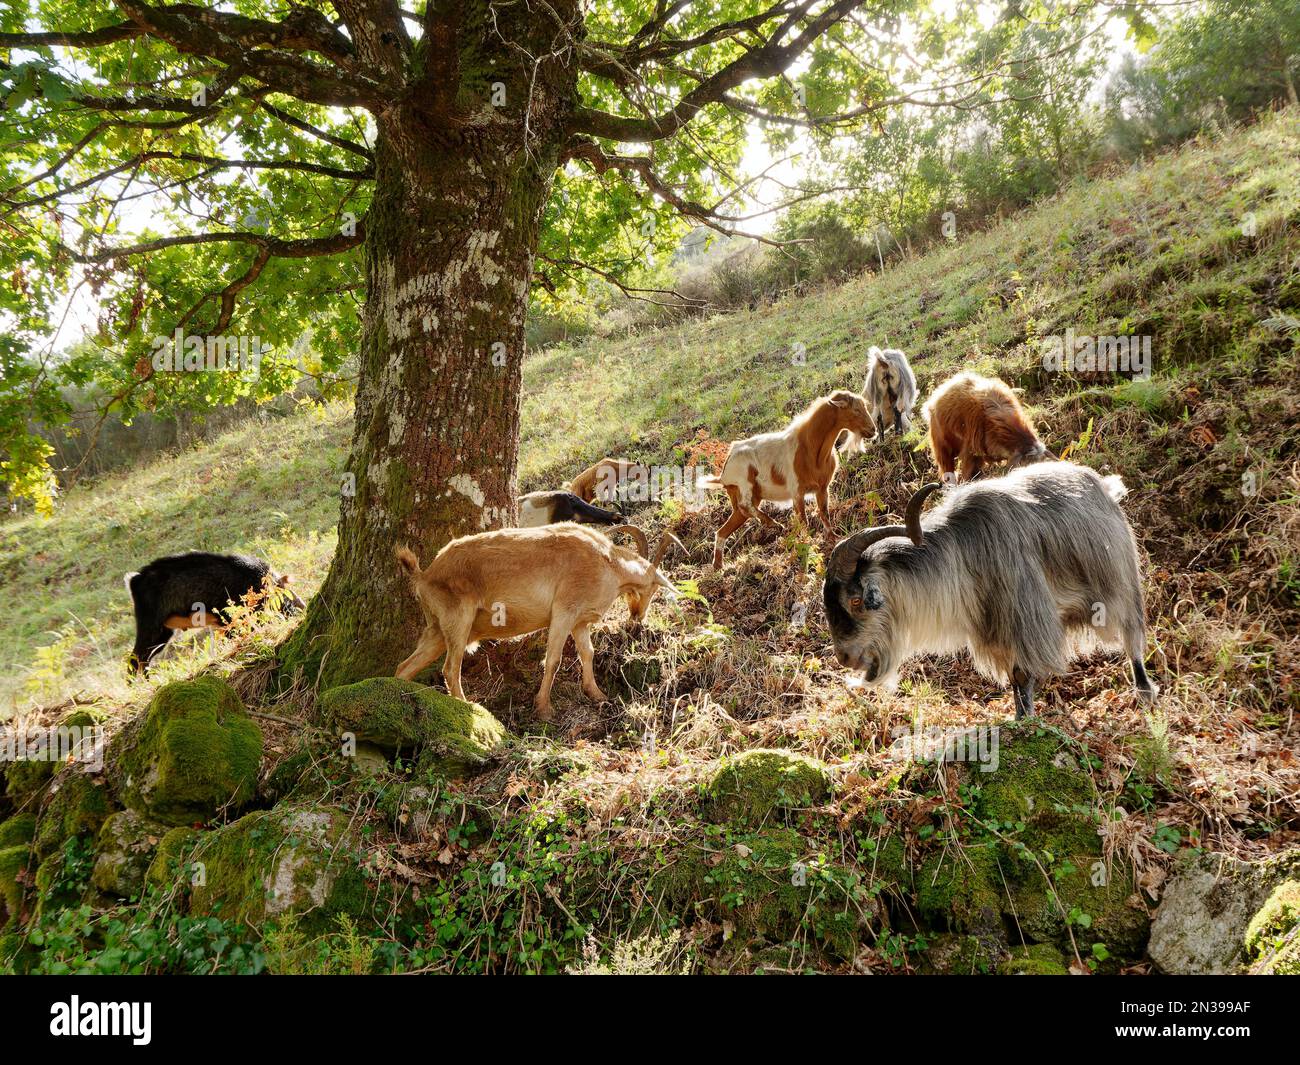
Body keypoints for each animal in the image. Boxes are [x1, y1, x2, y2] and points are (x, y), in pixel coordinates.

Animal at [124, 552, 304, 674]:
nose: (301, 607)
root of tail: (134, 580)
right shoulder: (231, 620)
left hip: (164, 632)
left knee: (143, 659)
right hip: (150, 626)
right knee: (135, 659)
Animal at [395, 523, 682, 719]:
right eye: (654, 589)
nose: (637, 616)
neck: (605, 563)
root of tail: (425, 575)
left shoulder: (579, 623)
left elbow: (588, 653)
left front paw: (597, 694)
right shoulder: (564, 612)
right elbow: (553, 660)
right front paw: (544, 708)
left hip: (436, 631)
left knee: (405, 667)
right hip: (458, 622)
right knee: (450, 669)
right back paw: (469, 708)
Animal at [703, 390, 873, 568]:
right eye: (856, 410)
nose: (873, 430)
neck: (810, 447)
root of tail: (724, 472)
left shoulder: (822, 488)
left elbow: (824, 512)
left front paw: (833, 538)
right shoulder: (797, 491)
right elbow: (804, 520)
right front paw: (808, 544)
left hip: (746, 497)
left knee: (723, 530)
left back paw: (719, 567)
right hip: (744, 482)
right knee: (745, 506)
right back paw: (774, 523)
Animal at [821, 463, 1158, 719]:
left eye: (855, 600)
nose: (844, 657)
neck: (963, 552)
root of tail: (1104, 487)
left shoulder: (1025, 619)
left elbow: (1022, 674)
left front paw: (1025, 720)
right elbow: (1014, 677)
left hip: (1120, 584)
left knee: (1133, 638)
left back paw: (1144, 692)